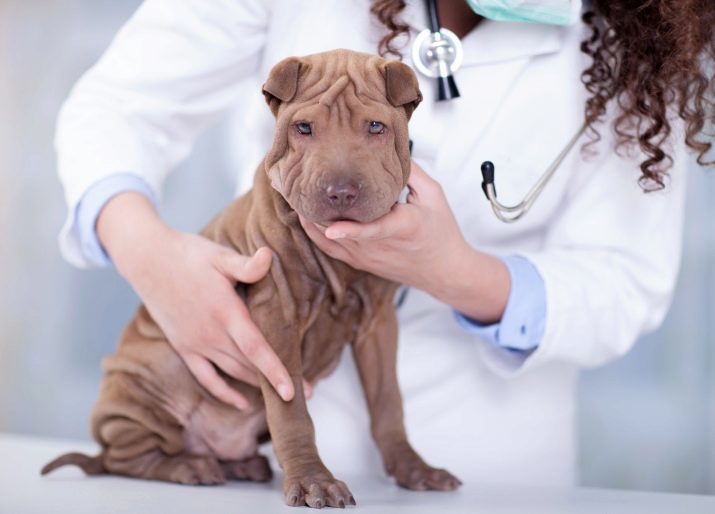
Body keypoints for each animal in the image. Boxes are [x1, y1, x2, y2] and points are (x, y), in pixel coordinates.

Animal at [43, 50, 458, 506]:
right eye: (303, 128)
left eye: (376, 127)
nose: (341, 192)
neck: (336, 264)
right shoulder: (276, 318)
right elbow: (292, 411)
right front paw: (314, 481)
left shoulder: (378, 324)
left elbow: (388, 402)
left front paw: (413, 469)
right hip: (146, 385)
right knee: (126, 457)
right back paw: (188, 466)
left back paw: (240, 464)